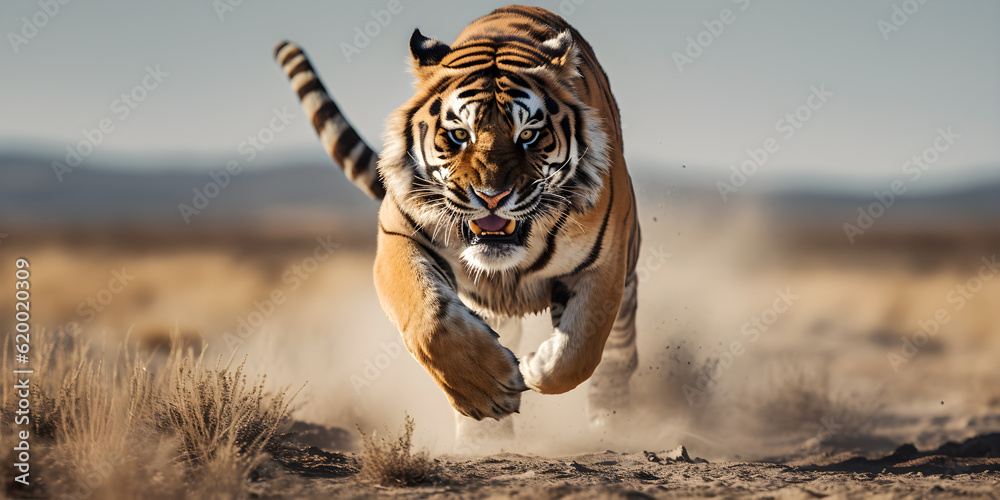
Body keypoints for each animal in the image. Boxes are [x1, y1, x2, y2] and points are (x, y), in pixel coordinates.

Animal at [274, 5, 641, 432]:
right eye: (460, 135)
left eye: (528, 135)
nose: (492, 196)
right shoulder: (399, 237)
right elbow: (428, 321)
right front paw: (488, 388)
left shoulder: (605, 263)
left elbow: (579, 350)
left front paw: (535, 367)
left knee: (618, 357)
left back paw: (613, 425)